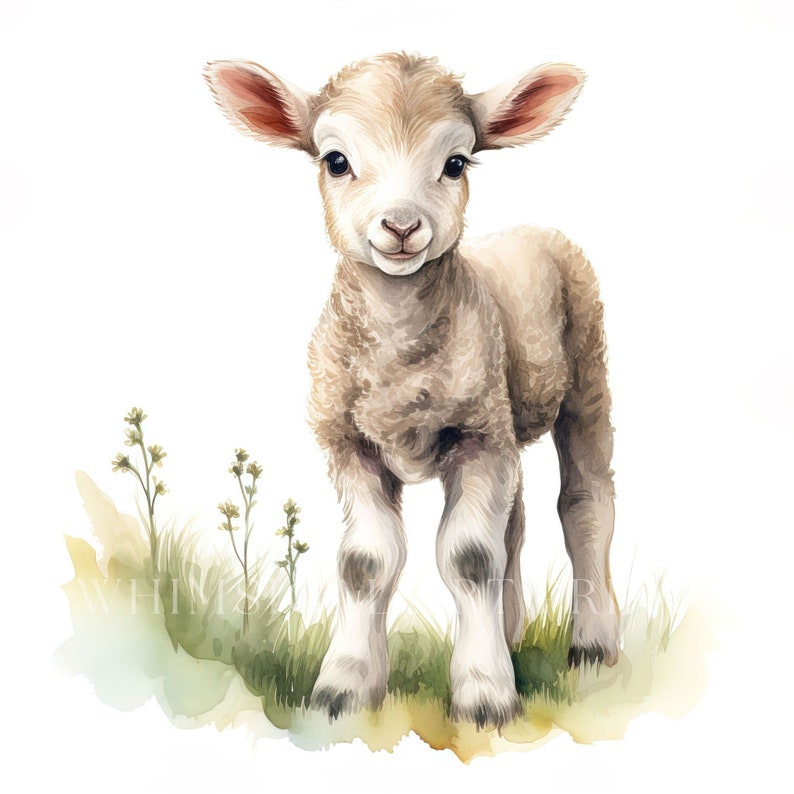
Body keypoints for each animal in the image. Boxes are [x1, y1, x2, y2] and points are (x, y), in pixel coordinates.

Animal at [205, 52, 619, 729]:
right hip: (504, 420)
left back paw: (594, 642)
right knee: (517, 523)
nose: (401, 226)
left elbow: (470, 557)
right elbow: (366, 563)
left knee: (585, 504)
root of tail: (533, 229)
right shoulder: (350, 443)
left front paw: (484, 695)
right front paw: (344, 687)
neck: (400, 356)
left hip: (585, 379)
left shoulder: (476, 439)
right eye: (335, 160)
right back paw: (509, 637)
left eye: (456, 163)